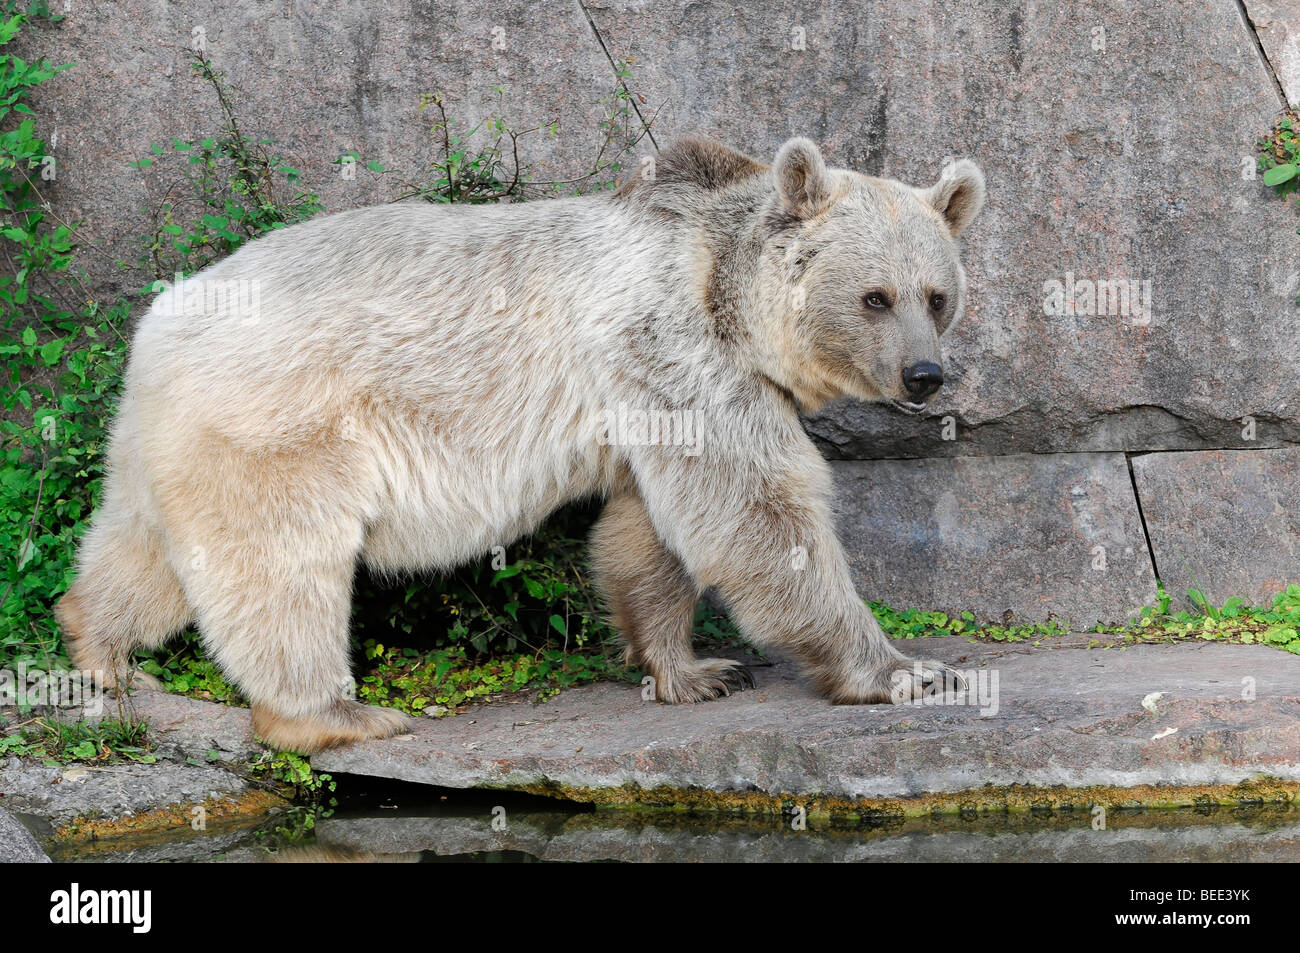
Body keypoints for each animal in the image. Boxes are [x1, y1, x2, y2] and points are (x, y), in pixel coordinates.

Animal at [55, 135, 986, 753]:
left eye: (937, 295)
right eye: (874, 296)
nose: (925, 375)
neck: (718, 276)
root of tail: (160, 324)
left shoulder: (653, 394)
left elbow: (649, 529)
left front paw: (692, 668)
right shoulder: (676, 351)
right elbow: (753, 513)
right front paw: (905, 670)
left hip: (164, 437)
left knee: (144, 549)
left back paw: (102, 652)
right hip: (280, 420)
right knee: (283, 566)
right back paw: (335, 714)